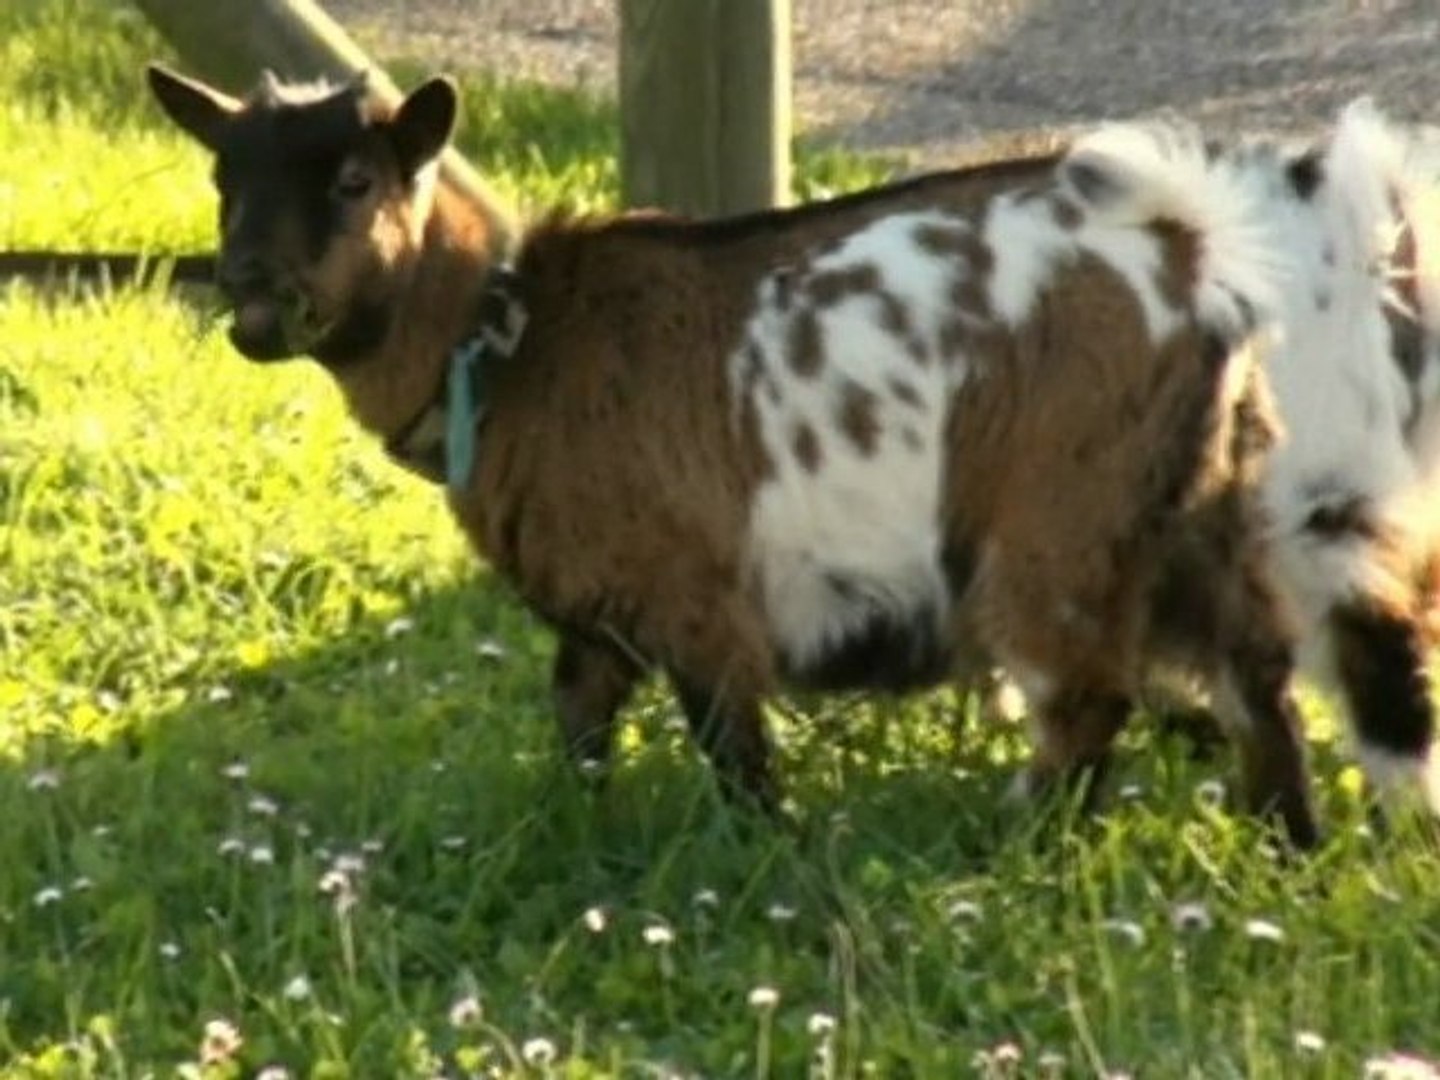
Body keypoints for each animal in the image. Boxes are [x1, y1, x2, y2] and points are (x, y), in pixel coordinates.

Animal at [146, 65, 1317, 846]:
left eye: (355, 179)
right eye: (221, 178)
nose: (253, 299)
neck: (509, 341)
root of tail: (1197, 259)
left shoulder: (695, 596)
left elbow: (733, 754)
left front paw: (769, 862)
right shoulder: (600, 612)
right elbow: (577, 723)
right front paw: (574, 832)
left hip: (1058, 521)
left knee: (1088, 700)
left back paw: (1014, 845)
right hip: (1204, 505)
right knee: (1257, 683)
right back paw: (1284, 848)